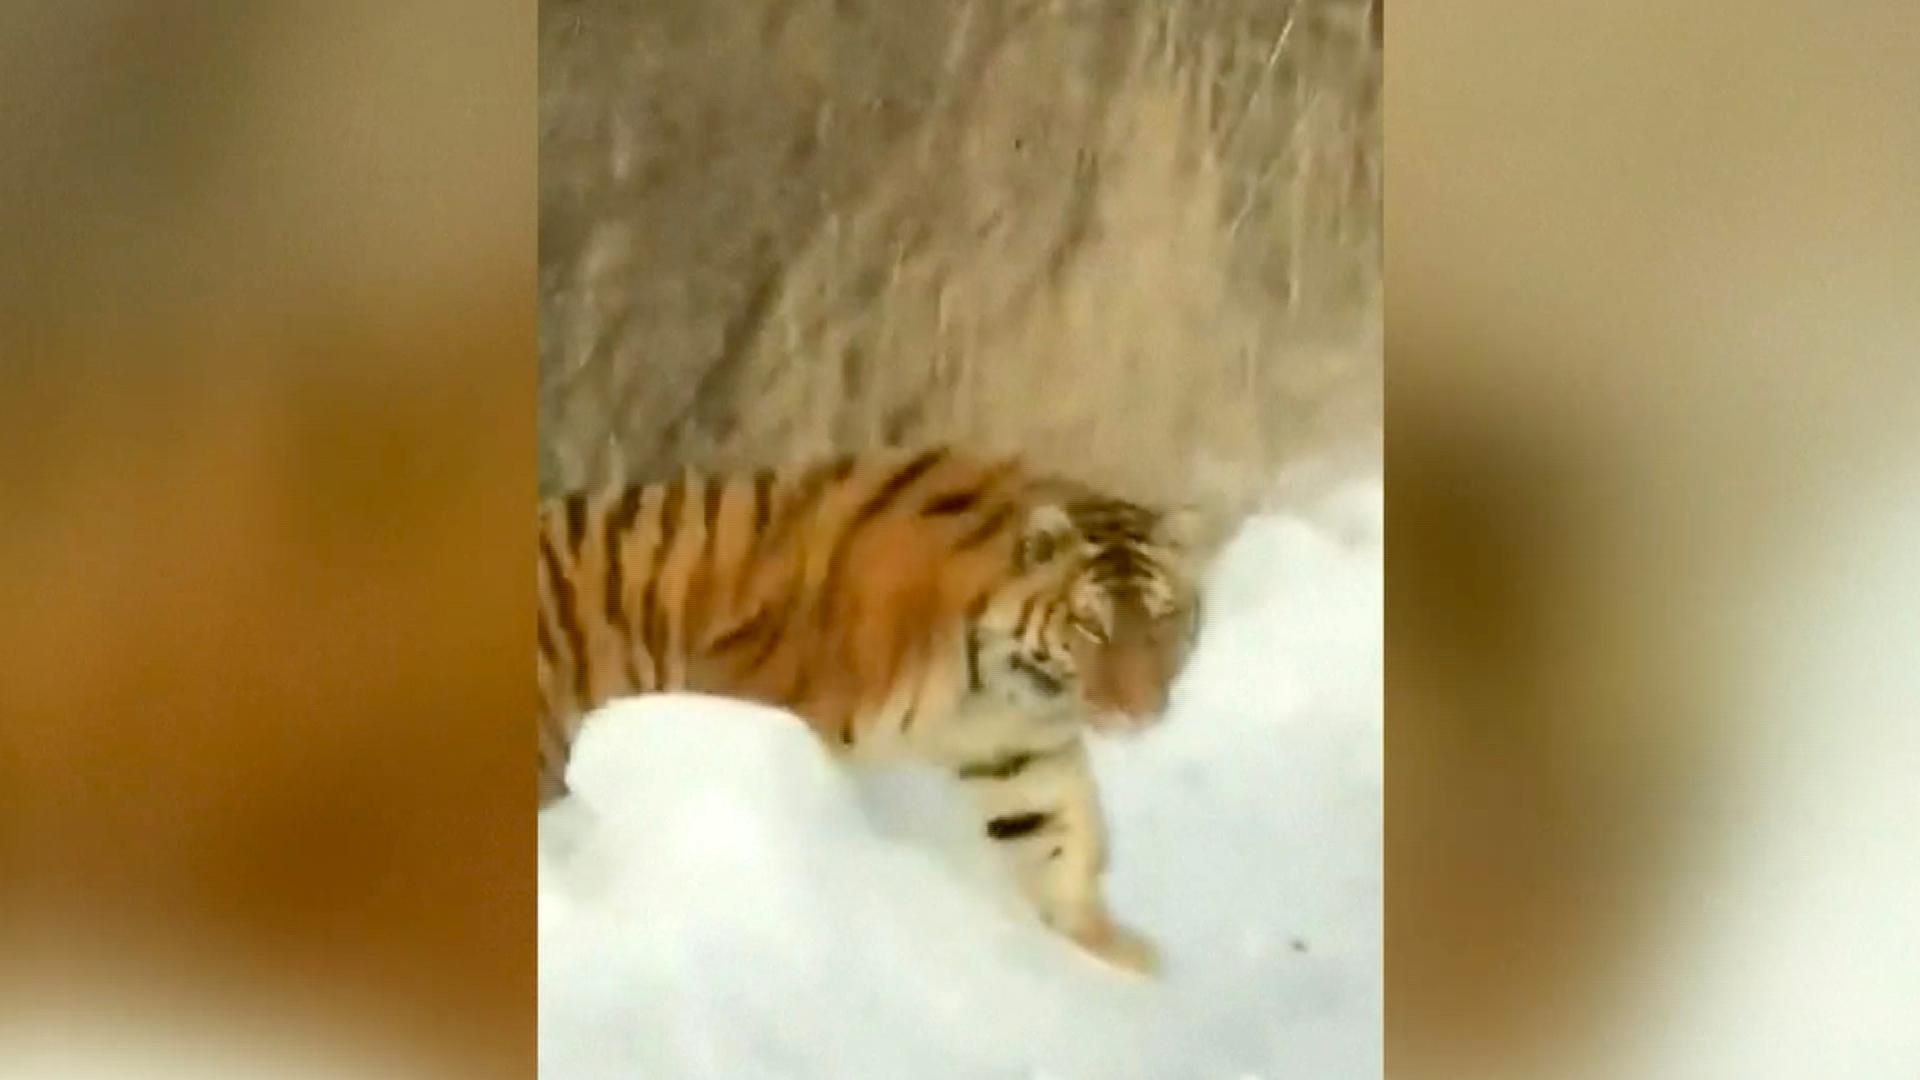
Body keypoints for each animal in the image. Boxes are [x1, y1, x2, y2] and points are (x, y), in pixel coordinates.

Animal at [536, 445, 1214, 974]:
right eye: (1091, 627)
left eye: (1163, 620)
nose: (1139, 711)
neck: (997, 680)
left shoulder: (1014, 745)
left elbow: (1061, 838)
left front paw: (1115, 962)